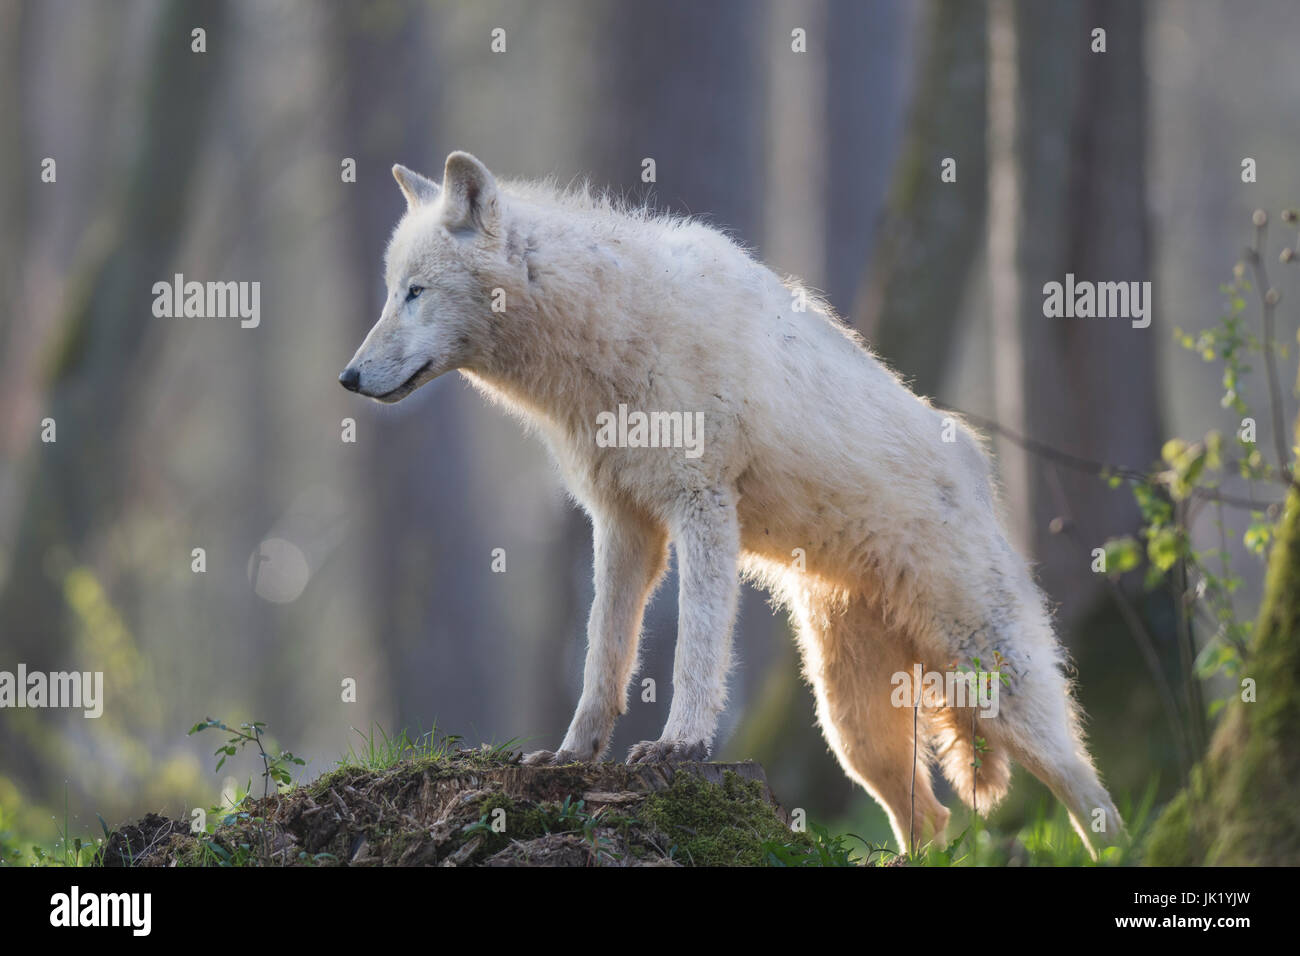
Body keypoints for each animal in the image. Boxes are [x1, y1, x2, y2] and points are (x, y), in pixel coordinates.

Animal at [339, 151, 1122, 855]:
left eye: (416, 291)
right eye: (390, 290)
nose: (347, 377)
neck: (611, 333)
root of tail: (982, 477)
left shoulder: (702, 508)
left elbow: (695, 647)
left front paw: (680, 746)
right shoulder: (621, 525)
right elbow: (602, 656)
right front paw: (572, 755)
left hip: (993, 689)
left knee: (1090, 795)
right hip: (853, 729)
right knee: (928, 821)